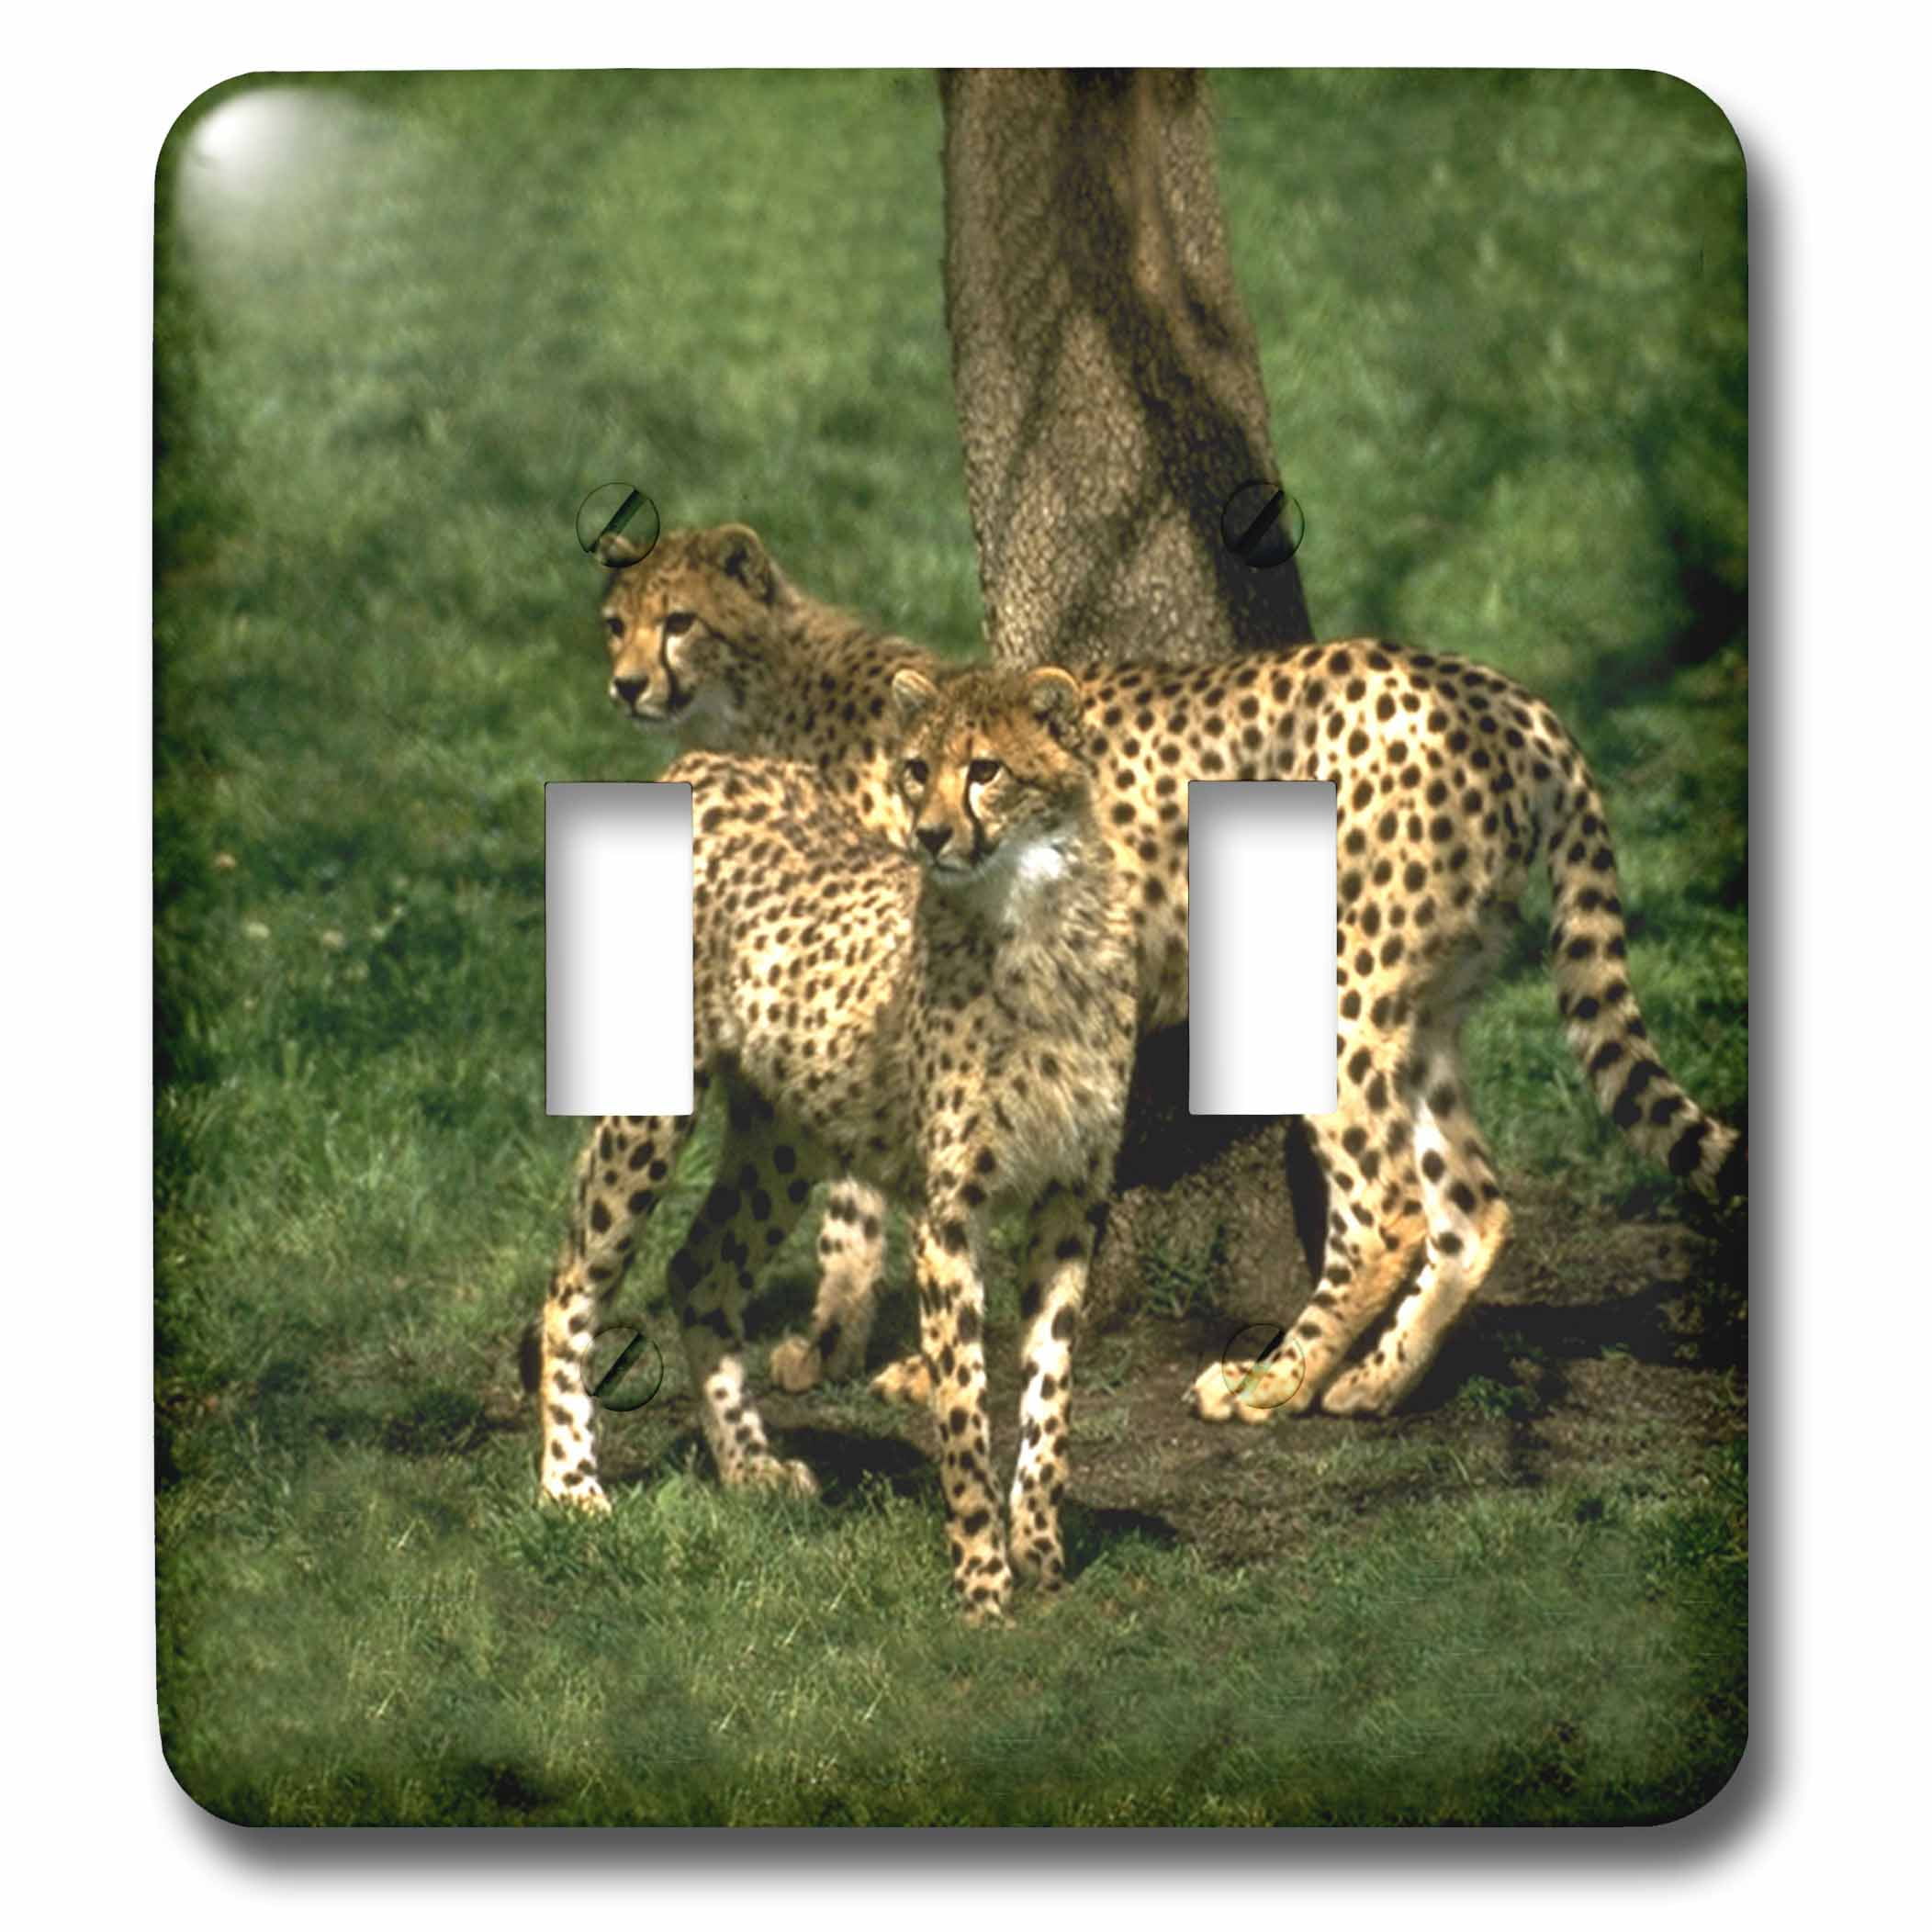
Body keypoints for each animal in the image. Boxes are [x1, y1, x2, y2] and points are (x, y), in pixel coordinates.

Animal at [532, 663, 1140, 1622]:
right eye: (917, 769)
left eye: (987, 770)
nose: (930, 835)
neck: (1032, 920)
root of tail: (706, 764)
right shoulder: (950, 1215)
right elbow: (964, 1408)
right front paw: (981, 1581)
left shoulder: (1070, 1201)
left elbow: (1051, 1395)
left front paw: (1041, 1551)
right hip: (653, 1110)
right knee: (571, 1283)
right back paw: (568, 1482)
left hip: (787, 1140)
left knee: (699, 1269)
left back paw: (747, 1464)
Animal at [590, 522, 1743, 1421]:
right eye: (616, 620)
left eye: (678, 619)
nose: (625, 684)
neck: (772, 696)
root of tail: (1488, 684)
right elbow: (856, 1195)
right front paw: (834, 1343)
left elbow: (882, 1197)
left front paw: (912, 1361)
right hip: (1425, 999)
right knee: (1471, 1203)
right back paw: (1374, 1384)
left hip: (1335, 990)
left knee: (1387, 1207)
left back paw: (1272, 1382)